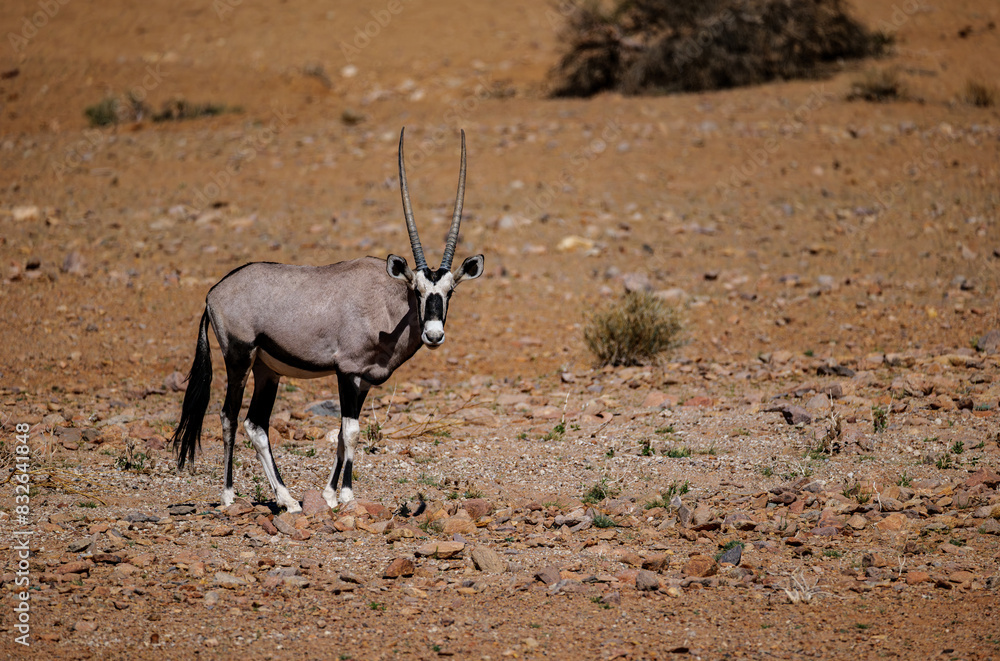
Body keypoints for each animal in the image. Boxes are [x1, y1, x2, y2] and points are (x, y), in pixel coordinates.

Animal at [171, 128, 484, 512]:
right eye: (417, 290)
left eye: (450, 291)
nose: (434, 334)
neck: (384, 304)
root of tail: (213, 293)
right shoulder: (346, 372)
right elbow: (350, 431)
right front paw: (347, 495)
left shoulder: (363, 381)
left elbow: (342, 434)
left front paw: (330, 495)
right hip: (239, 358)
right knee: (230, 418)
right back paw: (230, 495)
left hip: (267, 370)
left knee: (256, 424)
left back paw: (288, 499)